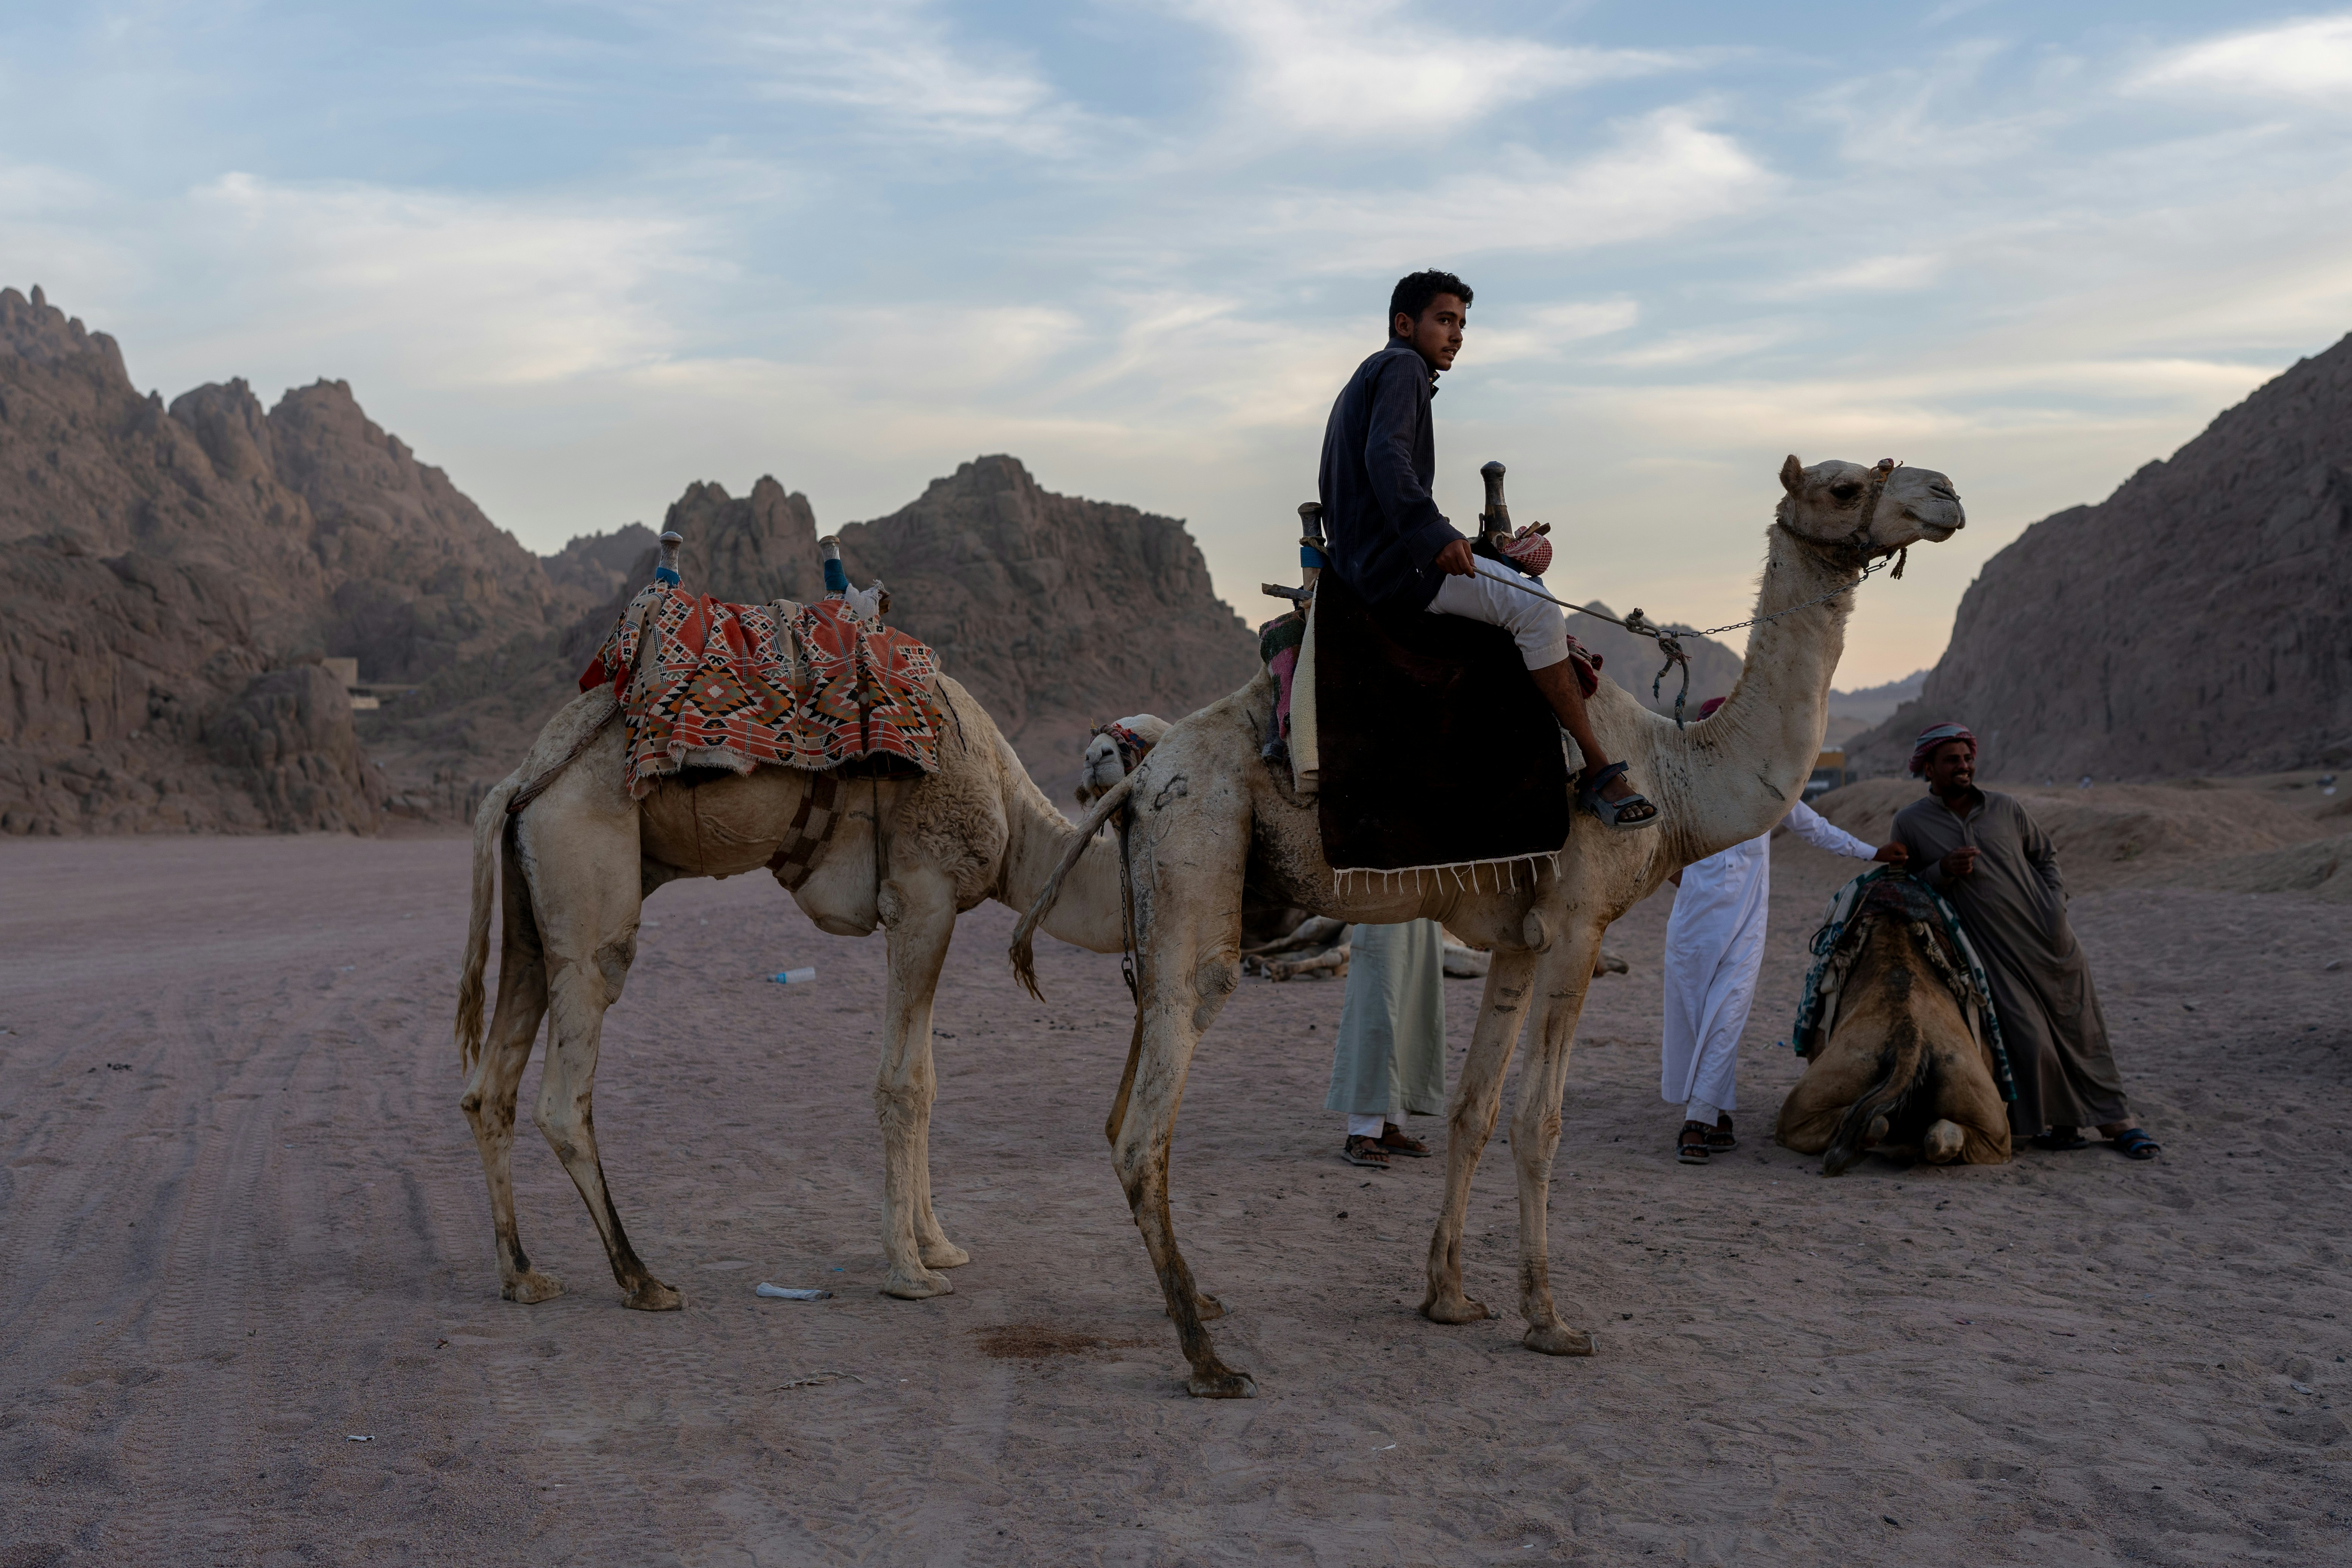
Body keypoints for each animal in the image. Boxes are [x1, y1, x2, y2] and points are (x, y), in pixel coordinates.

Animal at [453, 667, 1131, 1309]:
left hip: (530, 902)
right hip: (584, 870)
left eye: (1128, 740)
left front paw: (938, 1245)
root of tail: (522, 779)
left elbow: (929, 1079)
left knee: (490, 1087)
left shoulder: (931, 907)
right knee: (568, 1086)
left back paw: (523, 1274)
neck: (1012, 815)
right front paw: (910, 1271)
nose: (1098, 757)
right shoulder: (922, 895)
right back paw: (643, 1280)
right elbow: (905, 1085)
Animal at [1013, 456, 1963, 1396]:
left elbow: (1473, 1109)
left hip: (1173, 897)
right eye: (1845, 486)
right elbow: (1538, 1122)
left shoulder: (1517, 938)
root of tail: (1135, 778)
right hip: (1201, 841)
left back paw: (1202, 1301)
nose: (1947, 493)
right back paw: (1207, 1360)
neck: (1674, 770)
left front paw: (1449, 1296)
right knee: (1146, 1123)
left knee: (1125, 1099)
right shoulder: (1578, 923)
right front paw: (1549, 1320)